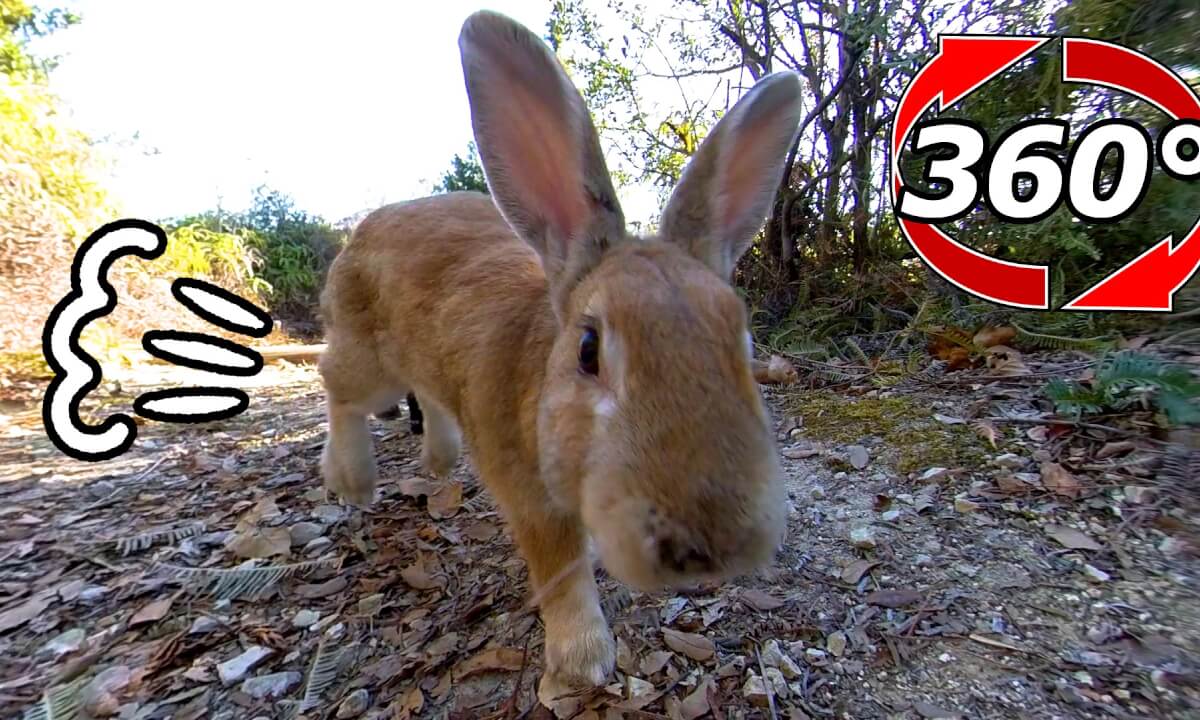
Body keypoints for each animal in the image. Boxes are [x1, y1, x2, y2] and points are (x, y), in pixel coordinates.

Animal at [317, 9, 802, 702]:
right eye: (589, 350)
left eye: (743, 341)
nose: (716, 545)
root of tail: (361, 229)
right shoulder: (532, 498)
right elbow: (562, 571)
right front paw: (582, 665)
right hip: (370, 363)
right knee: (338, 386)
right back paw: (353, 482)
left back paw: (439, 461)